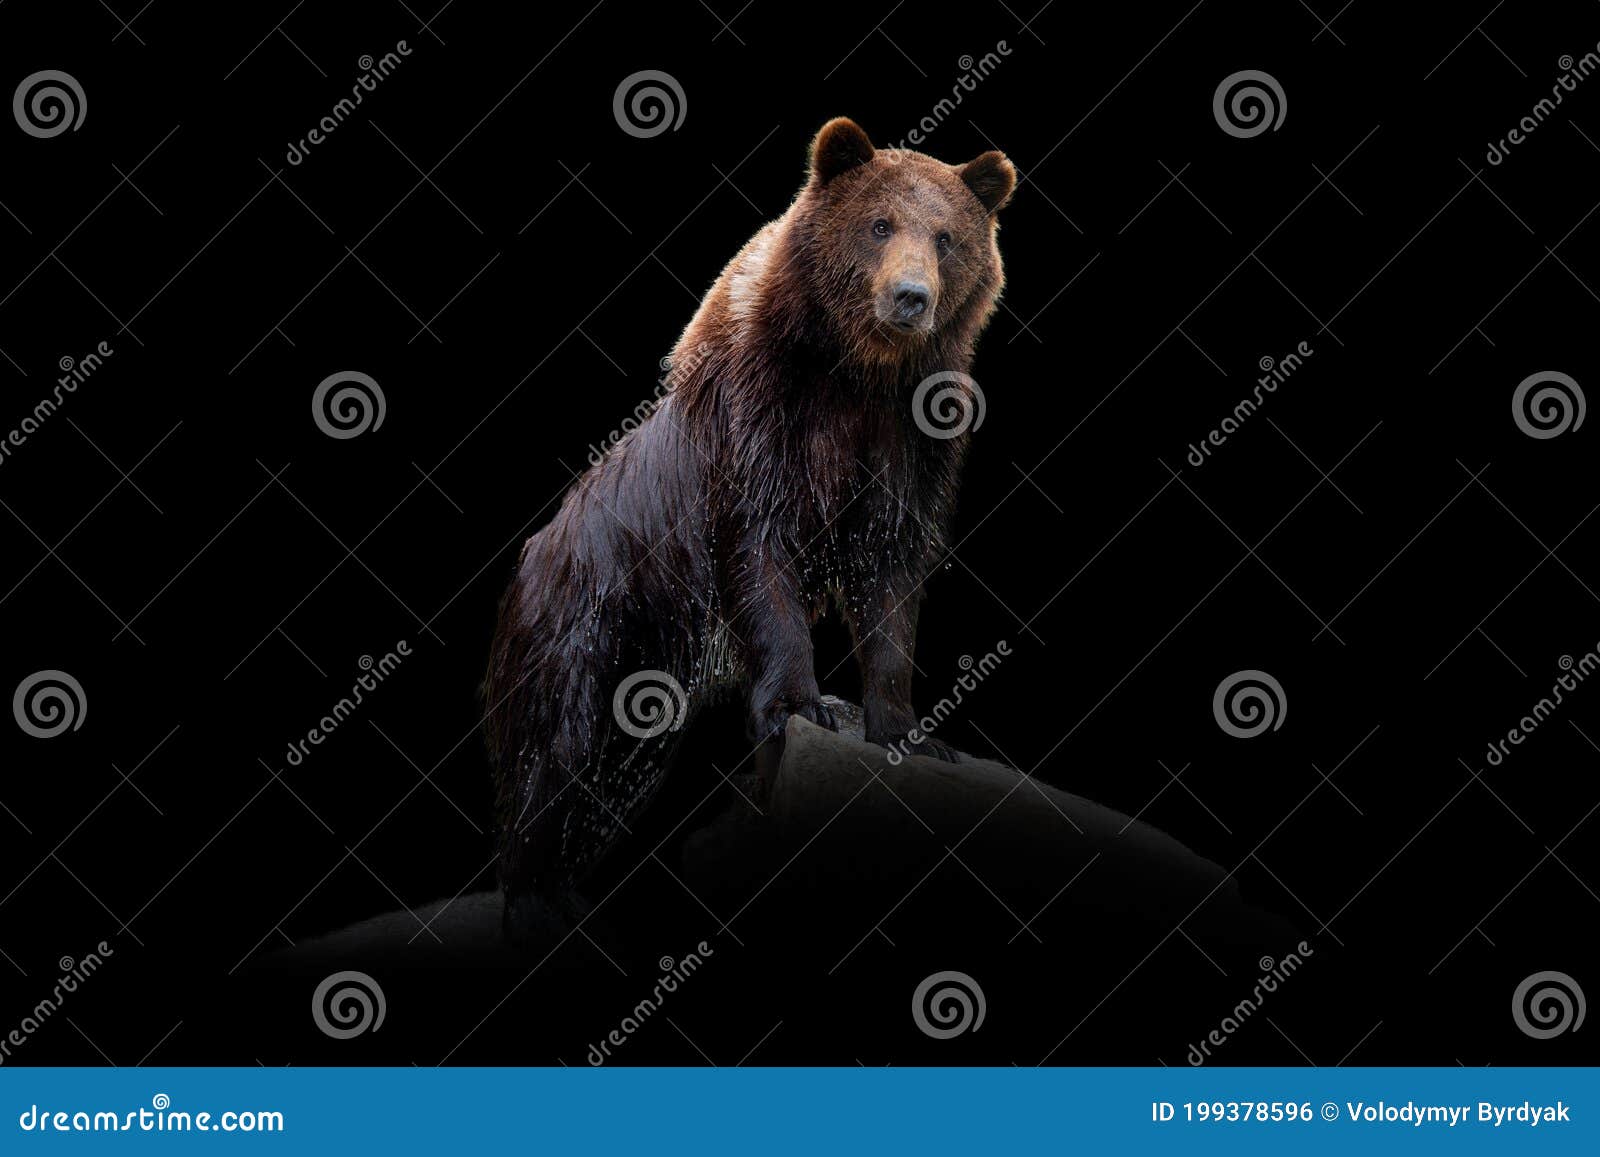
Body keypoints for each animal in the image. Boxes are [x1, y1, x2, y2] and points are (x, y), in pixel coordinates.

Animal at [484, 117, 1016, 942]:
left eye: (947, 236)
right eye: (879, 223)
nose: (910, 297)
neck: (855, 373)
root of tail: (528, 557)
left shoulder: (910, 444)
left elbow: (891, 579)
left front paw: (907, 726)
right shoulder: (756, 422)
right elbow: (761, 558)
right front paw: (808, 701)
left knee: (612, 772)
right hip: (583, 622)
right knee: (558, 749)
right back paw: (536, 895)